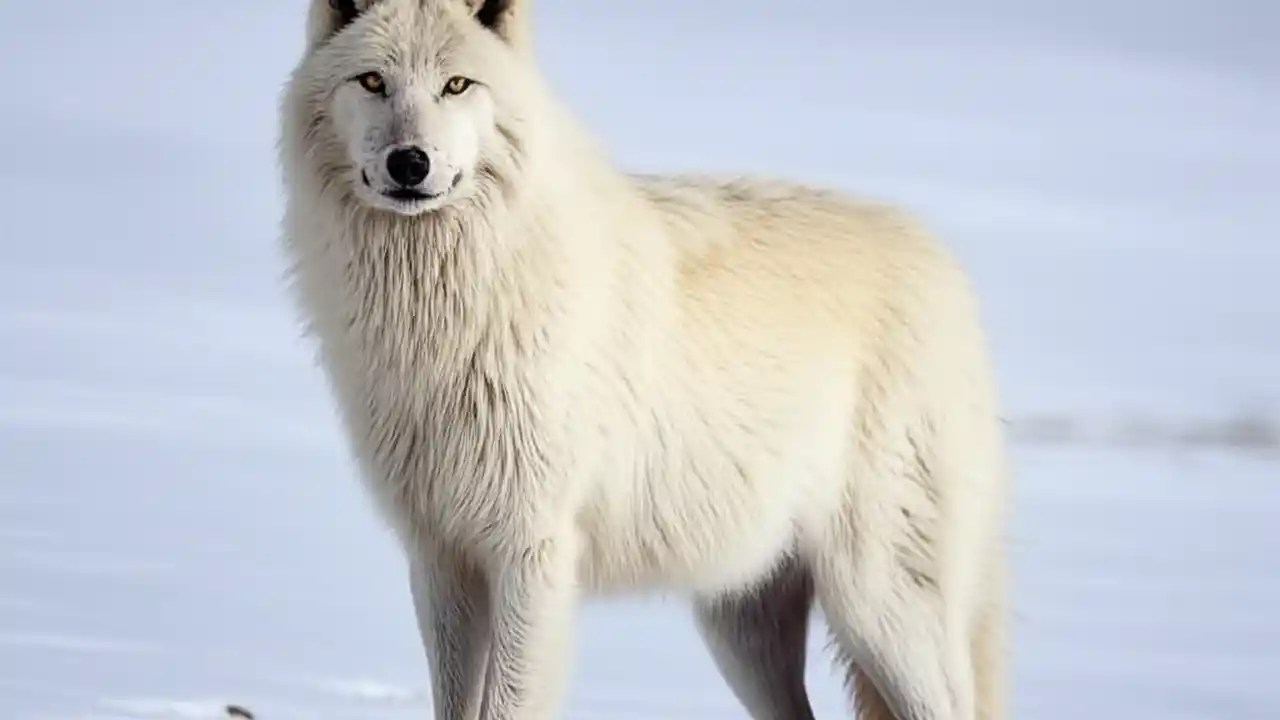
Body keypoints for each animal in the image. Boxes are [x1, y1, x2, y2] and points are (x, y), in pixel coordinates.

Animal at [278, 1, 1011, 719]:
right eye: (373, 81)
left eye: (456, 85)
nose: (410, 162)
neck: (449, 311)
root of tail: (947, 268)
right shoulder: (441, 556)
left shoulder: (533, 553)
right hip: (741, 628)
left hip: (878, 606)